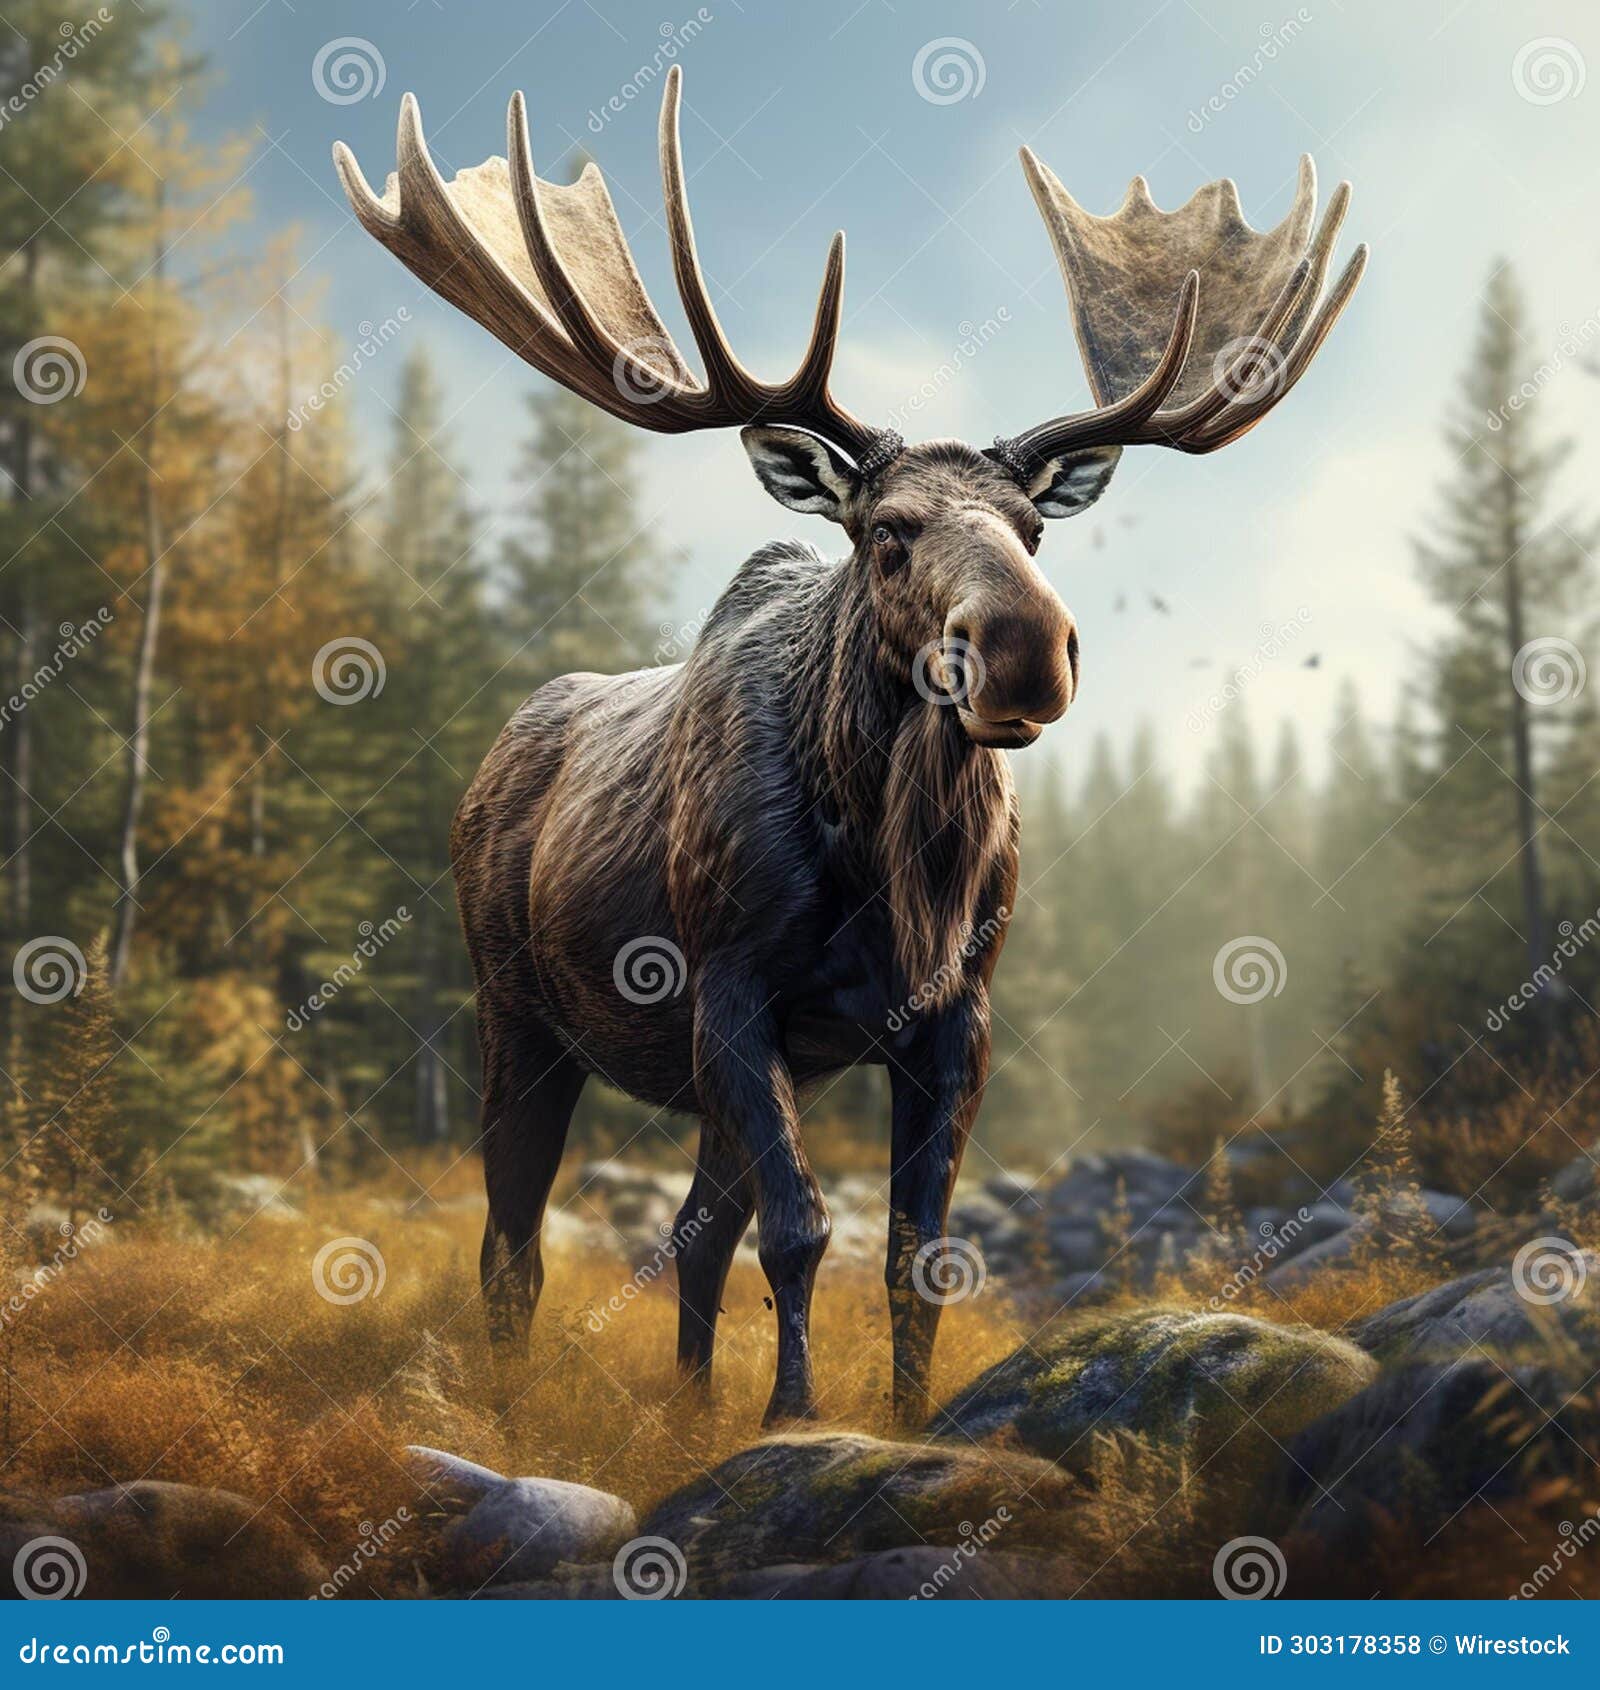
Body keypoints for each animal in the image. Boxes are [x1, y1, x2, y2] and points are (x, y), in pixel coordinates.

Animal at [334, 67, 1366, 1425]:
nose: (1024, 648)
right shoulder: (730, 984)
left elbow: (912, 1248)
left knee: (692, 1228)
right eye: (885, 528)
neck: (896, 878)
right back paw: (510, 1401)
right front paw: (794, 1414)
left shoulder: (954, 1016)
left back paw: (688, 1401)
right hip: (515, 1002)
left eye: (1036, 525)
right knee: (515, 1231)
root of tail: (495, 756)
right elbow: (801, 1230)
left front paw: (903, 1419)